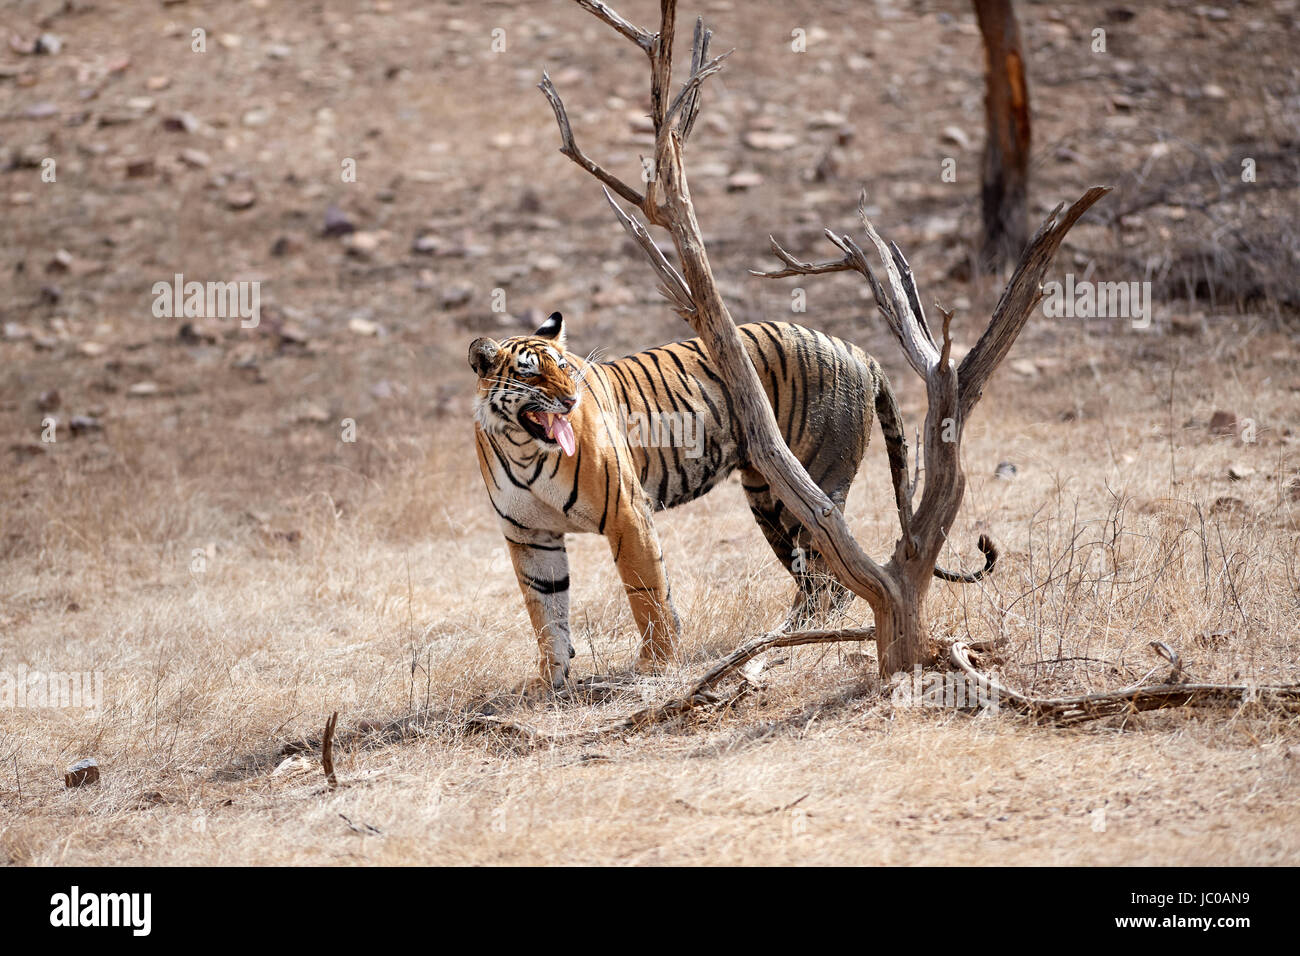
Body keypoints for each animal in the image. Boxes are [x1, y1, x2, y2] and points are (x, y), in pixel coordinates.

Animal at [469, 312, 985, 690]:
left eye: (566, 368)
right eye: (532, 375)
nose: (571, 400)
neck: (523, 445)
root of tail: (856, 349)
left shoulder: (626, 515)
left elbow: (646, 593)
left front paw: (656, 666)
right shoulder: (531, 537)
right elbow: (545, 611)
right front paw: (549, 681)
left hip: (808, 486)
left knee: (831, 578)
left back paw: (795, 641)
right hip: (768, 498)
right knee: (820, 581)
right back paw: (783, 637)